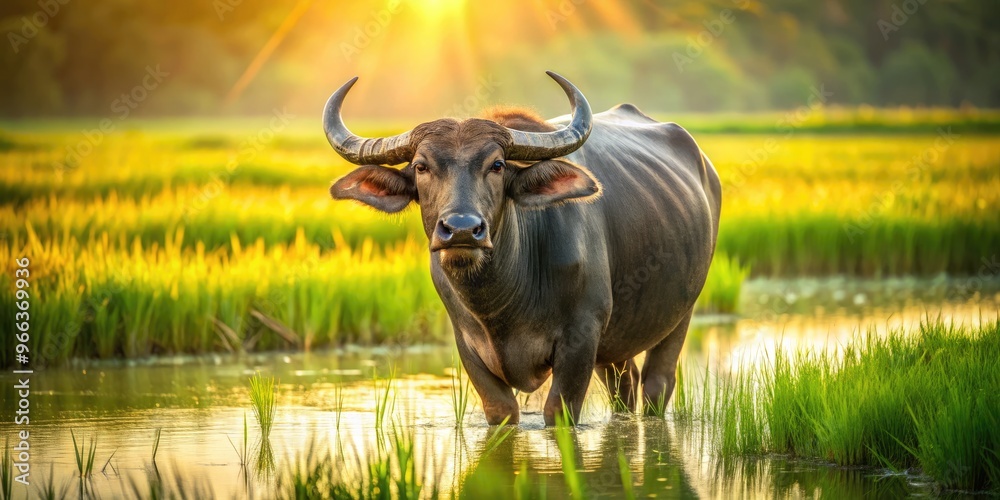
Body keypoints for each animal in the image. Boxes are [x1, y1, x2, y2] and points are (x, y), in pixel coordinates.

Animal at [325, 72, 721, 425]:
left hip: (680, 315)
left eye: (497, 165)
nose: (462, 229)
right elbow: (502, 412)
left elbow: (557, 412)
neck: (503, 301)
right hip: (615, 343)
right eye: (421, 167)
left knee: (657, 384)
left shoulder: (581, 338)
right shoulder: (469, 349)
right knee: (625, 387)